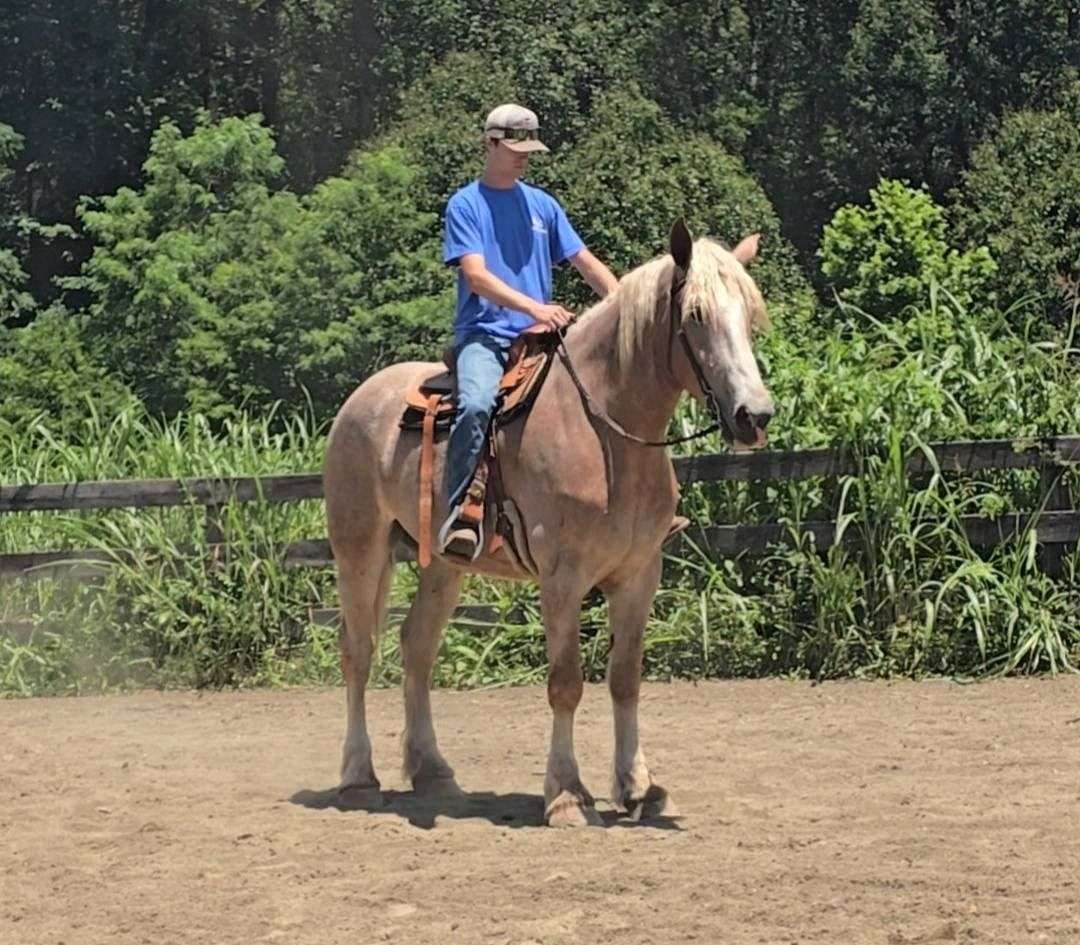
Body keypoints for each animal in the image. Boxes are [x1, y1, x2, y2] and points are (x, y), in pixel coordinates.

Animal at [322, 220, 775, 826]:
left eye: (749, 315)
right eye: (696, 315)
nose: (755, 416)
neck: (605, 431)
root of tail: (360, 401)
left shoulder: (639, 575)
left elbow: (624, 680)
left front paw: (639, 787)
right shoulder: (563, 578)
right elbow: (565, 683)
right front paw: (567, 794)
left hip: (442, 564)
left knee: (416, 646)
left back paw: (433, 772)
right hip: (359, 548)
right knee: (358, 651)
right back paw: (357, 777)